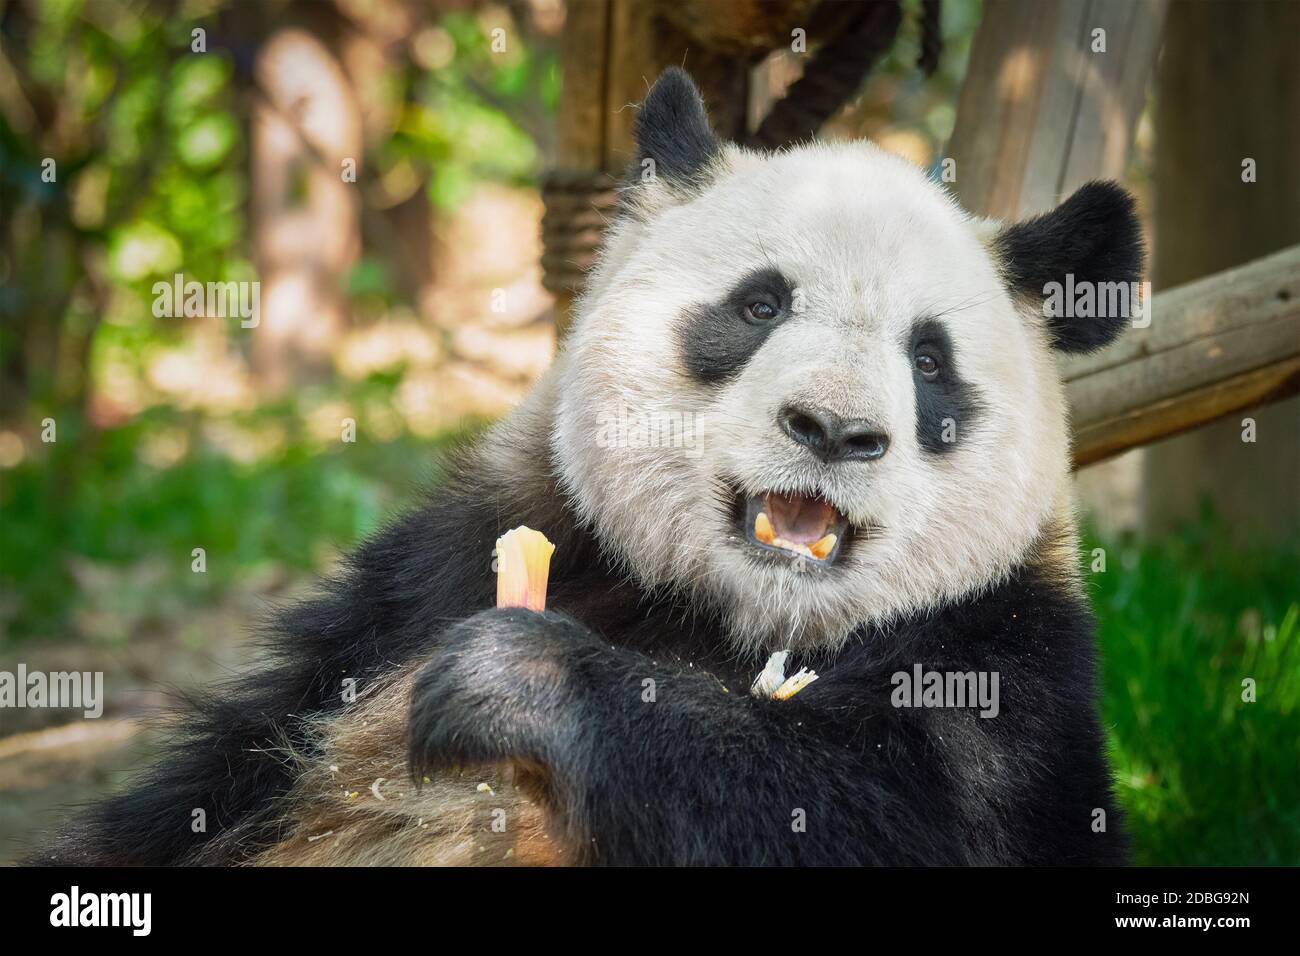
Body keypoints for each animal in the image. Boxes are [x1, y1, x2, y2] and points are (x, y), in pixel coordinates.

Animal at [36, 68, 1143, 866]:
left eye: (929, 361)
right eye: (758, 305)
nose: (832, 429)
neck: (735, 620)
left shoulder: (1004, 672)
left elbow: (879, 814)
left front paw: (523, 681)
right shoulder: (446, 567)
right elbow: (218, 781)